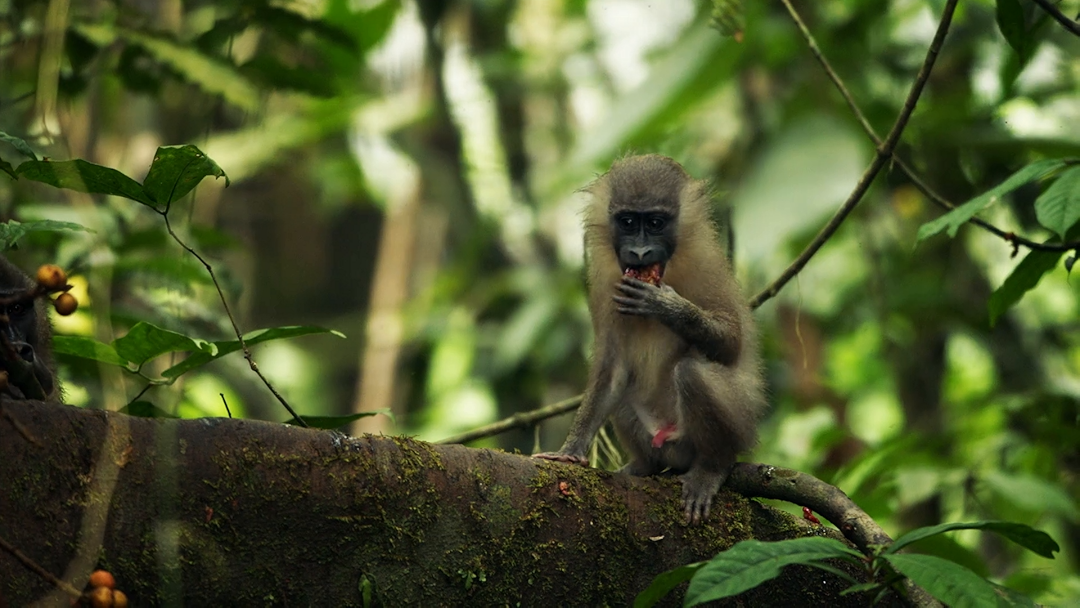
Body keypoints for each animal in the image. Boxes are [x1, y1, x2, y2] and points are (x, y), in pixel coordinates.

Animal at [534, 154, 766, 524]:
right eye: (628, 222)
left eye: (656, 223)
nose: (641, 253)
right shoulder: (606, 282)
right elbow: (611, 369)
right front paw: (570, 450)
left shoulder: (706, 265)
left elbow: (732, 344)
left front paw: (666, 307)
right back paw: (644, 466)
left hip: (731, 428)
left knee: (691, 372)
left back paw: (711, 468)